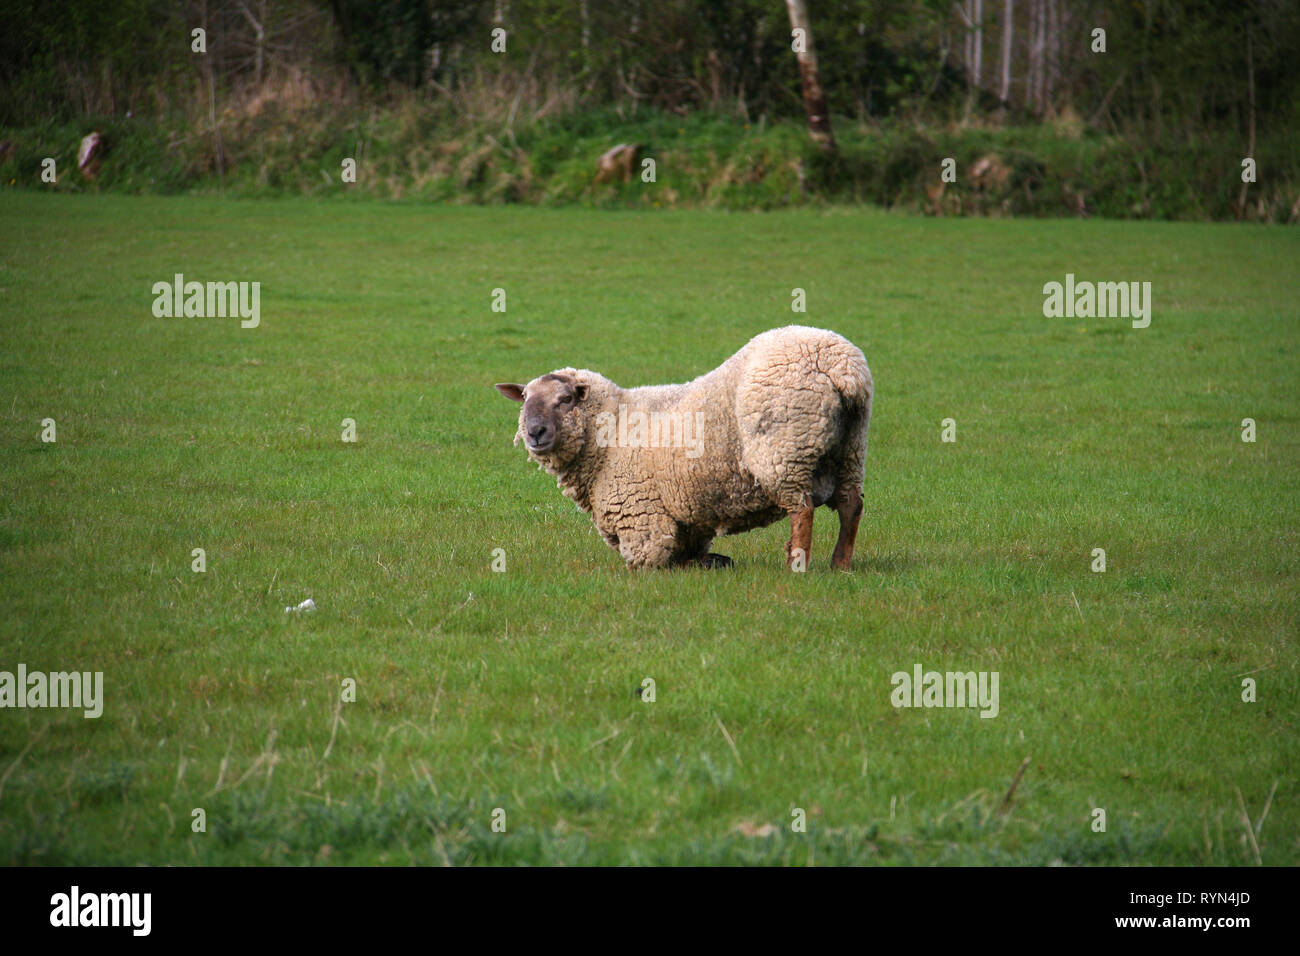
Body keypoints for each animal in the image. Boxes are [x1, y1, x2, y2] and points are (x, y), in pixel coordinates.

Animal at [495, 325, 872, 570]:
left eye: (566, 399)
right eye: (525, 399)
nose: (534, 432)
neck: (611, 430)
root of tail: (841, 366)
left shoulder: (642, 517)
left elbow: (650, 563)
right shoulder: (685, 521)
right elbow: (687, 554)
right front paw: (711, 561)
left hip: (785, 449)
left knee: (802, 509)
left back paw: (797, 565)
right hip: (850, 448)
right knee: (851, 505)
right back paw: (840, 565)